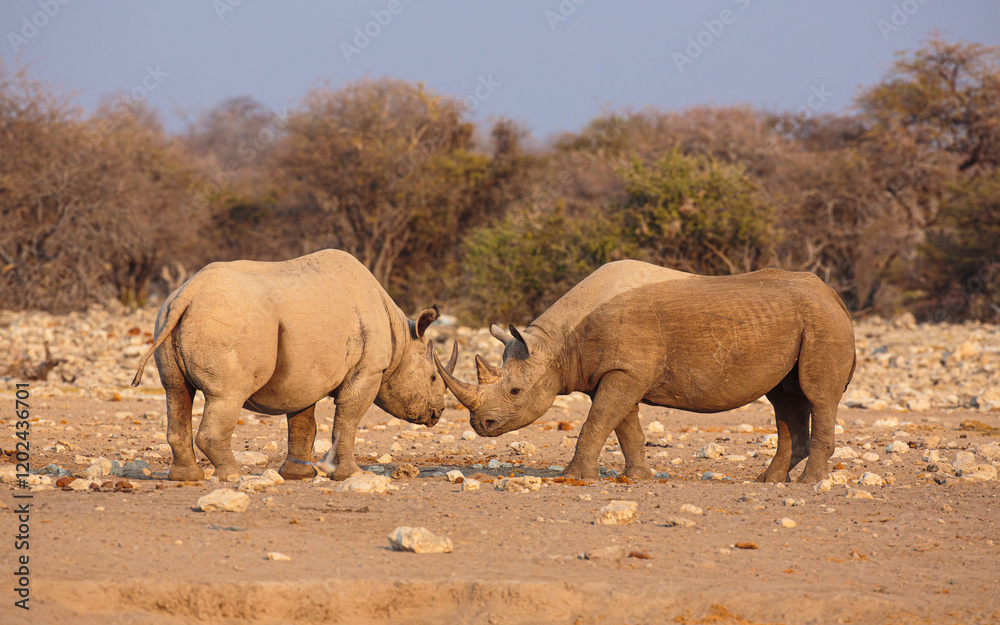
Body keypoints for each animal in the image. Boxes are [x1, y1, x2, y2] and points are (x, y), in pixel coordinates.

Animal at [131, 249, 457, 482]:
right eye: (432, 378)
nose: (437, 413)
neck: (402, 341)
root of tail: (189, 291)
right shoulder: (368, 370)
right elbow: (348, 420)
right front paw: (352, 475)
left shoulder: (306, 375)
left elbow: (303, 424)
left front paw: (298, 475)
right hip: (230, 318)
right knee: (226, 395)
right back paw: (233, 477)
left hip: (167, 315)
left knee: (176, 391)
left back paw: (187, 478)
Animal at [436, 260, 856, 483]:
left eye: (515, 393)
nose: (482, 425)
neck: (557, 344)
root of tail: (835, 296)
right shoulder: (618, 372)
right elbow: (624, 426)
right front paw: (637, 477)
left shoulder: (625, 372)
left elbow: (597, 422)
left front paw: (573, 476)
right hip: (801, 321)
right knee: (785, 397)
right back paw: (768, 481)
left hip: (822, 321)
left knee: (817, 396)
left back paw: (809, 483)